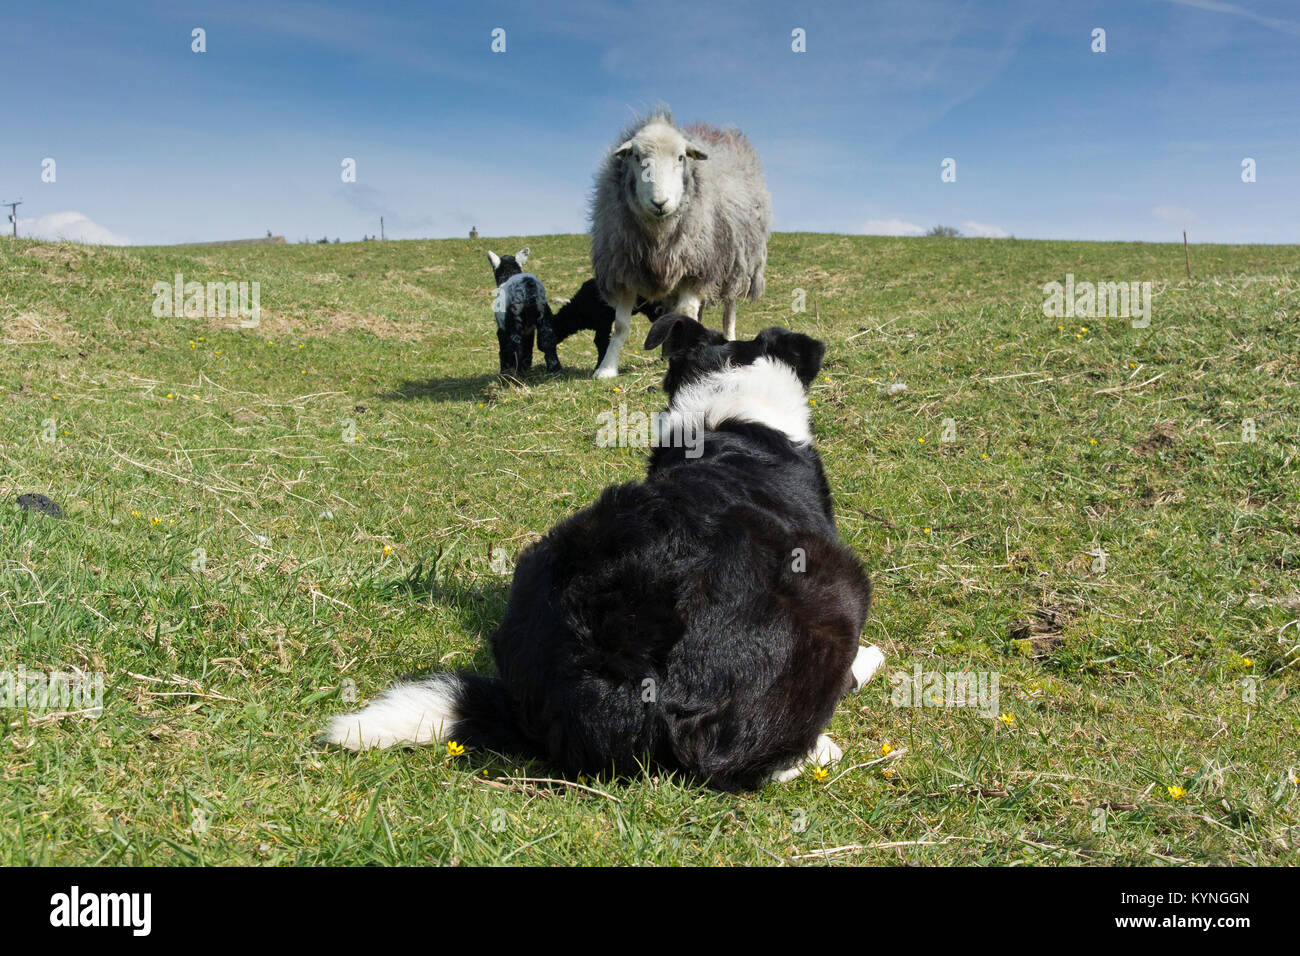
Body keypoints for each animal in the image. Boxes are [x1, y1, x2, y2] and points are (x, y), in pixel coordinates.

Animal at [589, 109, 771, 378]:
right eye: (636, 156)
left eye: (681, 157)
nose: (660, 202)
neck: (659, 232)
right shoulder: (623, 270)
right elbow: (621, 325)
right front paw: (606, 369)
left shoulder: (696, 267)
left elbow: (687, 313)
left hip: (736, 260)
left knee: (729, 307)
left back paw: (729, 336)